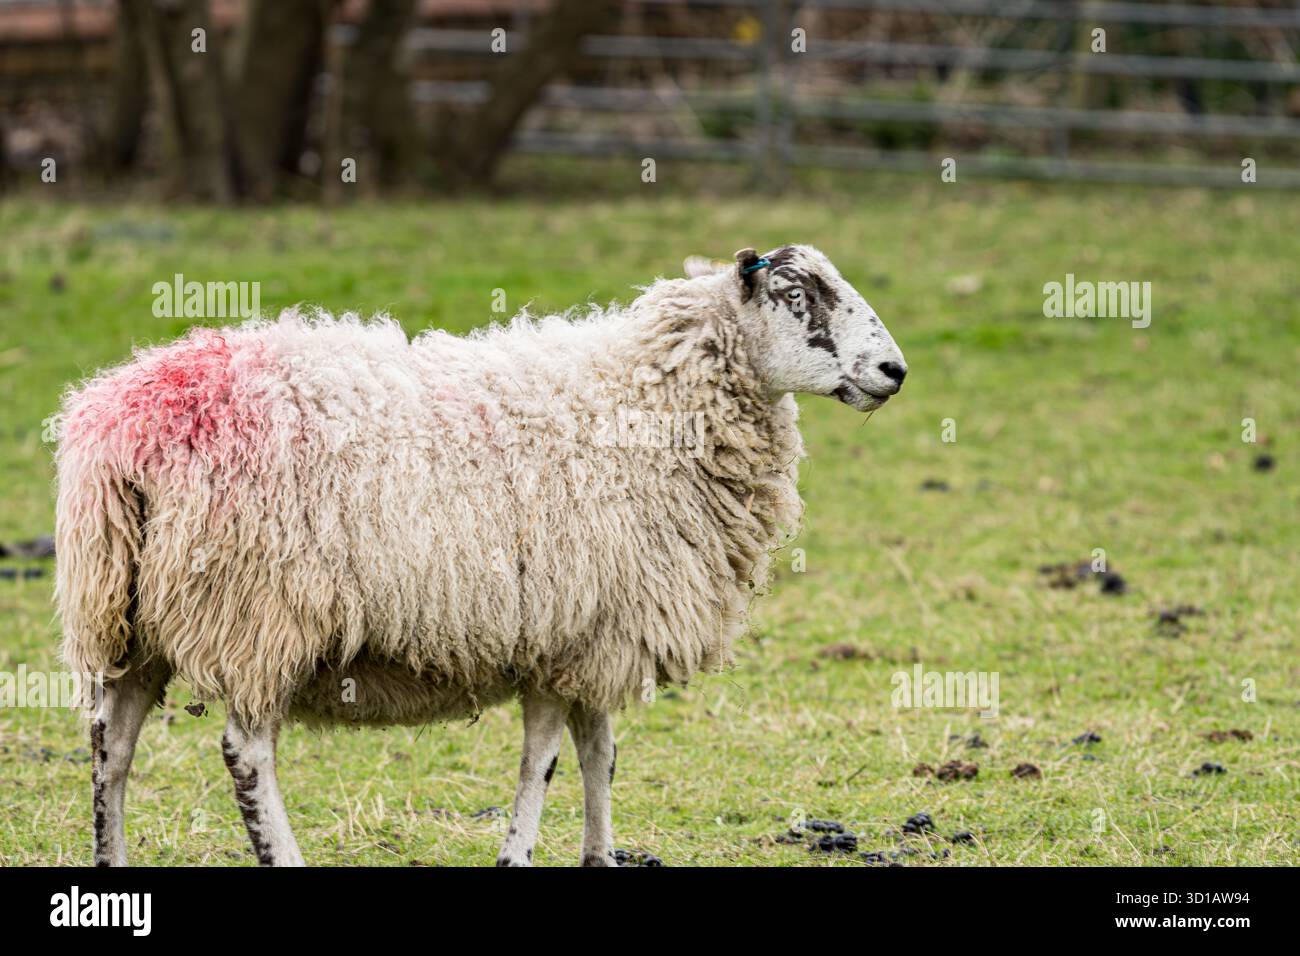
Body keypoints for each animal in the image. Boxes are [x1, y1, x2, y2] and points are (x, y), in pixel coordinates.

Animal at [56, 244, 908, 867]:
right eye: (797, 296)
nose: (894, 371)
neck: (650, 397)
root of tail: (125, 421)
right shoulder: (561, 636)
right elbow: (545, 760)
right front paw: (519, 855)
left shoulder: (595, 630)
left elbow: (599, 752)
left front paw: (599, 856)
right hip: (258, 610)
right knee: (244, 753)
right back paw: (282, 855)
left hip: (127, 614)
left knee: (111, 745)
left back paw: (111, 861)